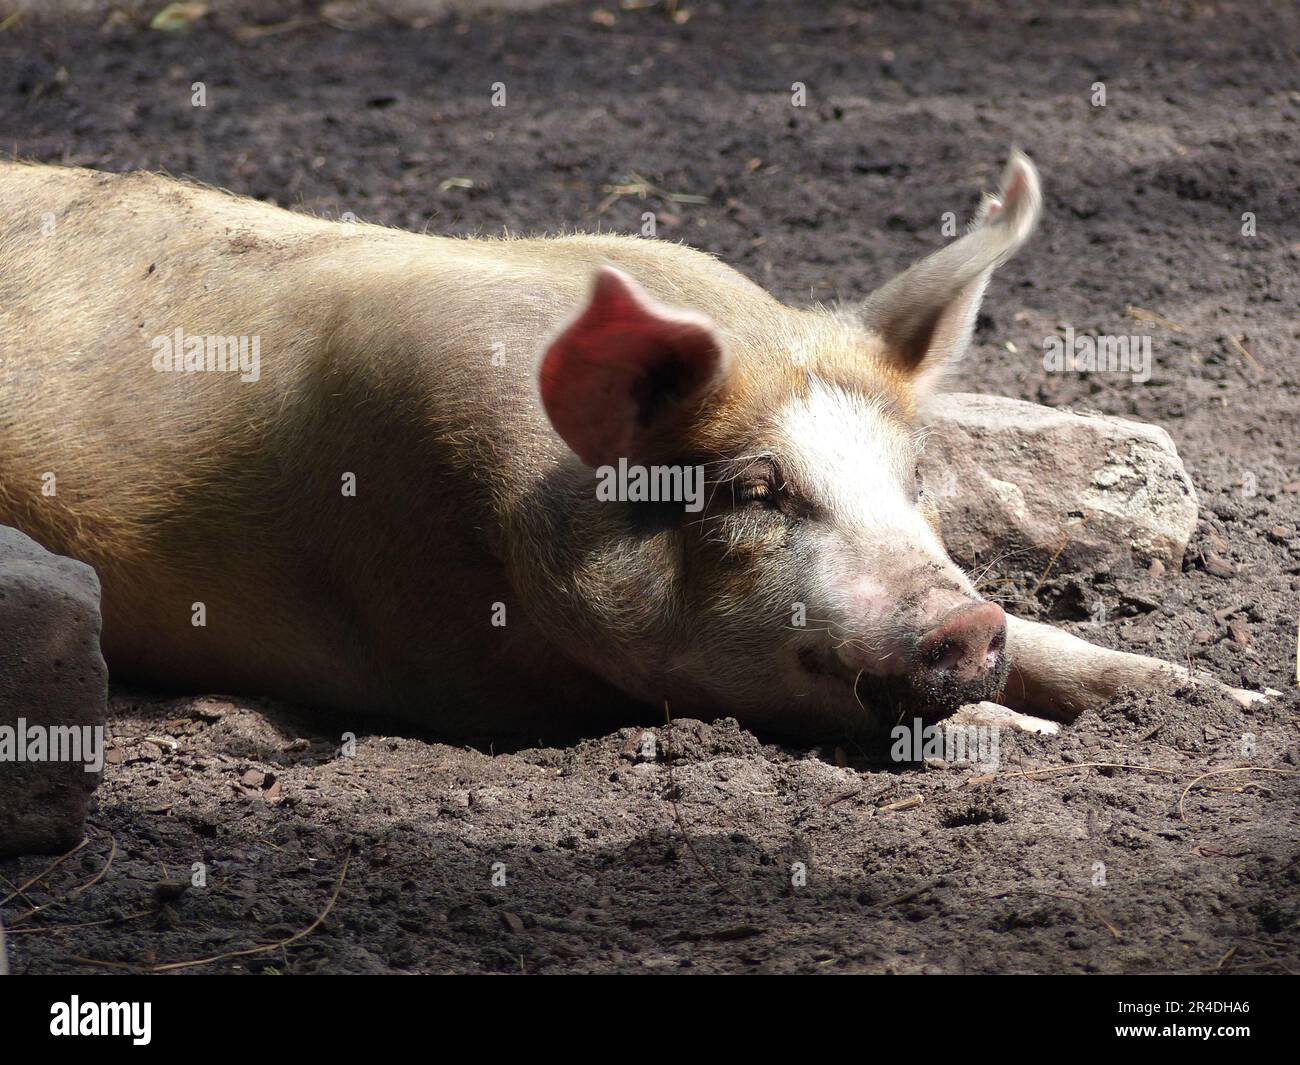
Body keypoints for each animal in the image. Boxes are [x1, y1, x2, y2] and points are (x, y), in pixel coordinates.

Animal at [0, 153, 1267, 742]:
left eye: (910, 479)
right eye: (754, 488)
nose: (963, 623)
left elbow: (1065, 648)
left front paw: (1231, 701)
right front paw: (1037, 734)